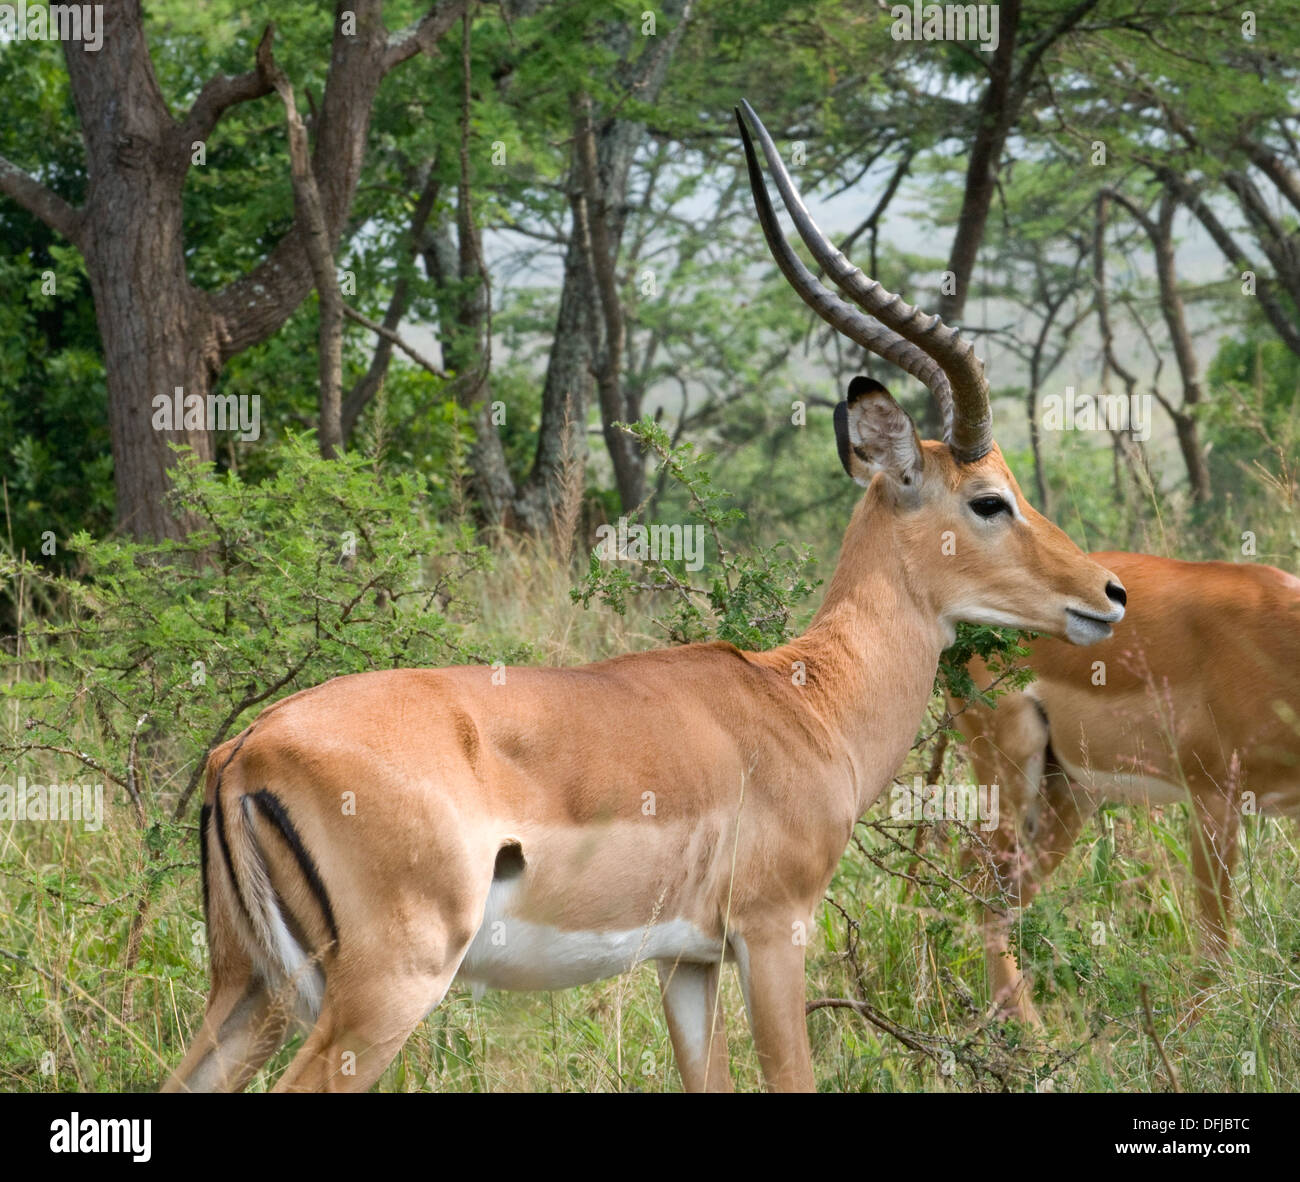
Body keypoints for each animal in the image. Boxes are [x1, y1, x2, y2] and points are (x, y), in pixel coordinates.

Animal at [162, 102, 1126, 1094]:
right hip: (385, 987)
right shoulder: (773, 933)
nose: (1109, 592)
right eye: (989, 499)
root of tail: (243, 752)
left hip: (249, 991)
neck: (804, 703)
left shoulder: (686, 962)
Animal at [951, 552, 1300, 1025]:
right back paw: (1030, 1033)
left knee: (1004, 892)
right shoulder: (1213, 797)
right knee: (978, 879)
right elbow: (1214, 945)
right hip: (1009, 768)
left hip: (1068, 794)